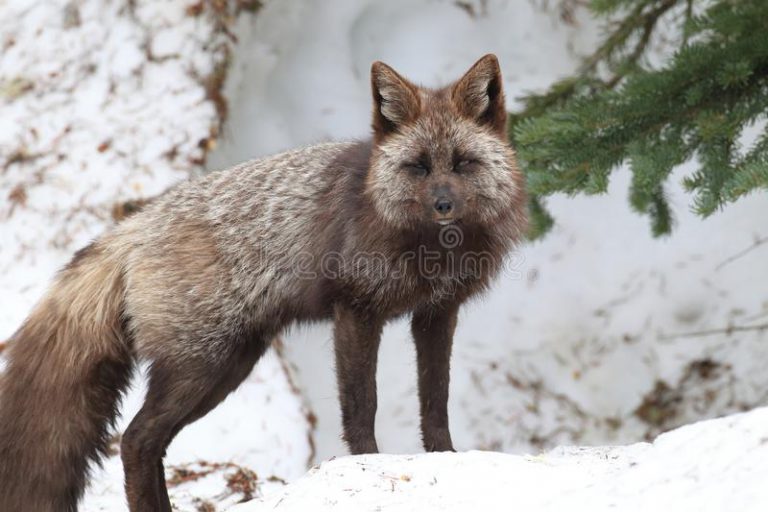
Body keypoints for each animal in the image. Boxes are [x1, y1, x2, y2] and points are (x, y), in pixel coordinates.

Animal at [0, 54, 526, 511]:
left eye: (463, 163)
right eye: (417, 166)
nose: (443, 205)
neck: (432, 253)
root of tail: (135, 226)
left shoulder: (437, 312)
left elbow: (436, 397)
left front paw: (448, 458)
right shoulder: (357, 310)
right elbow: (362, 404)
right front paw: (366, 466)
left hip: (227, 366)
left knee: (146, 443)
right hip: (201, 367)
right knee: (134, 441)